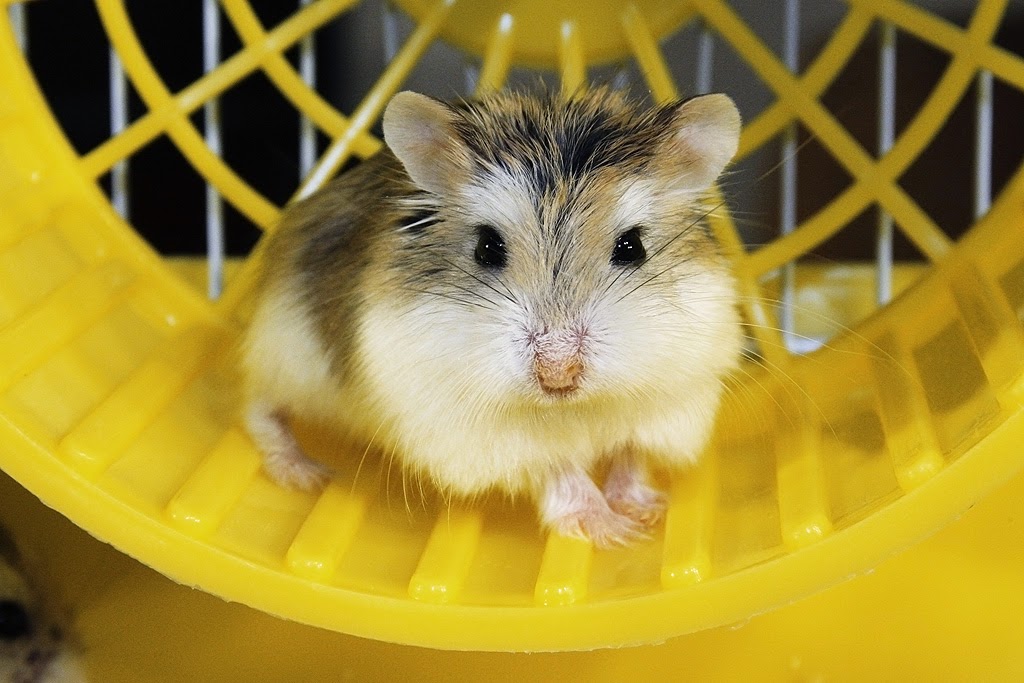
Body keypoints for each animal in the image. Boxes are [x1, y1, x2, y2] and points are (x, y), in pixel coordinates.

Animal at [240, 87, 743, 547]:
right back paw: (303, 473)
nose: (558, 375)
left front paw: (646, 513)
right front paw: (614, 531)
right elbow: (561, 471)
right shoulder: (491, 439)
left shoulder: (664, 405)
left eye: (632, 247)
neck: (572, 411)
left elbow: (630, 457)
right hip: (285, 355)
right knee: (258, 408)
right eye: (487, 247)